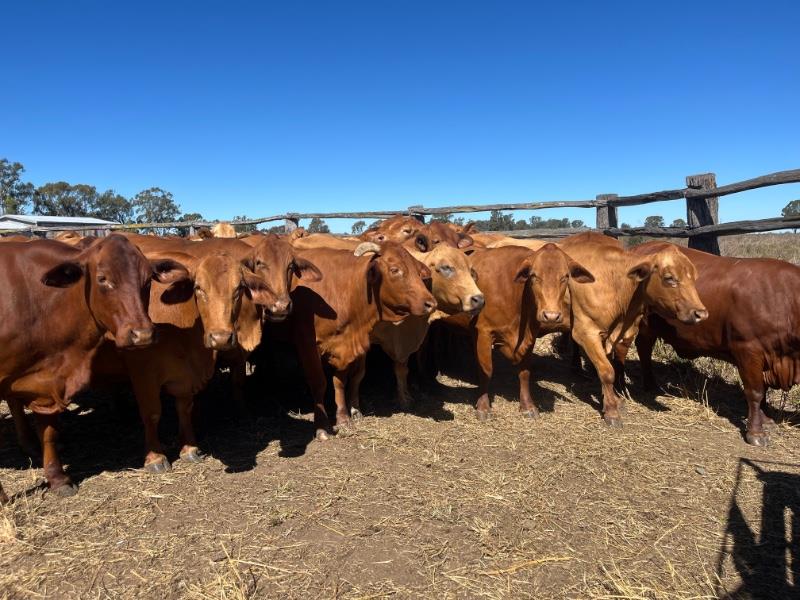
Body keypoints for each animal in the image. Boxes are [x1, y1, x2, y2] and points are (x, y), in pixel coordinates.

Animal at [0, 235, 187, 497]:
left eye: (148, 279)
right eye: (102, 279)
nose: (142, 335)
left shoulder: (49, 383)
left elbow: (48, 433)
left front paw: (58, 479)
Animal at [268, 241, 436, 440]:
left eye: (418, 271)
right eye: (395, 269)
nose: (431, 304)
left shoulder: (343, 348)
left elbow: (340, 382)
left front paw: (343, 417)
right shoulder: (308, 344)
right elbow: (319, 382)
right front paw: (322, 426)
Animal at [442, 244, 595, 419]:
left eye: (565, 277)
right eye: (534, 276)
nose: (551, 316)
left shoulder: (529, 337)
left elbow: (525, 372)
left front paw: (527, 406)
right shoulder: (483, 333)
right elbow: (486, 370)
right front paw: (483, 407)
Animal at [558, 233, 708, 427]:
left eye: (694, 279)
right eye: (669, 278)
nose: (701, 314)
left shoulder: (622, 332)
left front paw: (614, 399)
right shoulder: (586, 331)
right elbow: (607, 371)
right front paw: (612, 411)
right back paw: (576, 367)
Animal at [627, 243, 800, 446]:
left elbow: (763, 391)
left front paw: (766, 421)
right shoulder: (748, 351)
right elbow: (755, 392)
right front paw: (755, 432)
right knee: (642, 348)